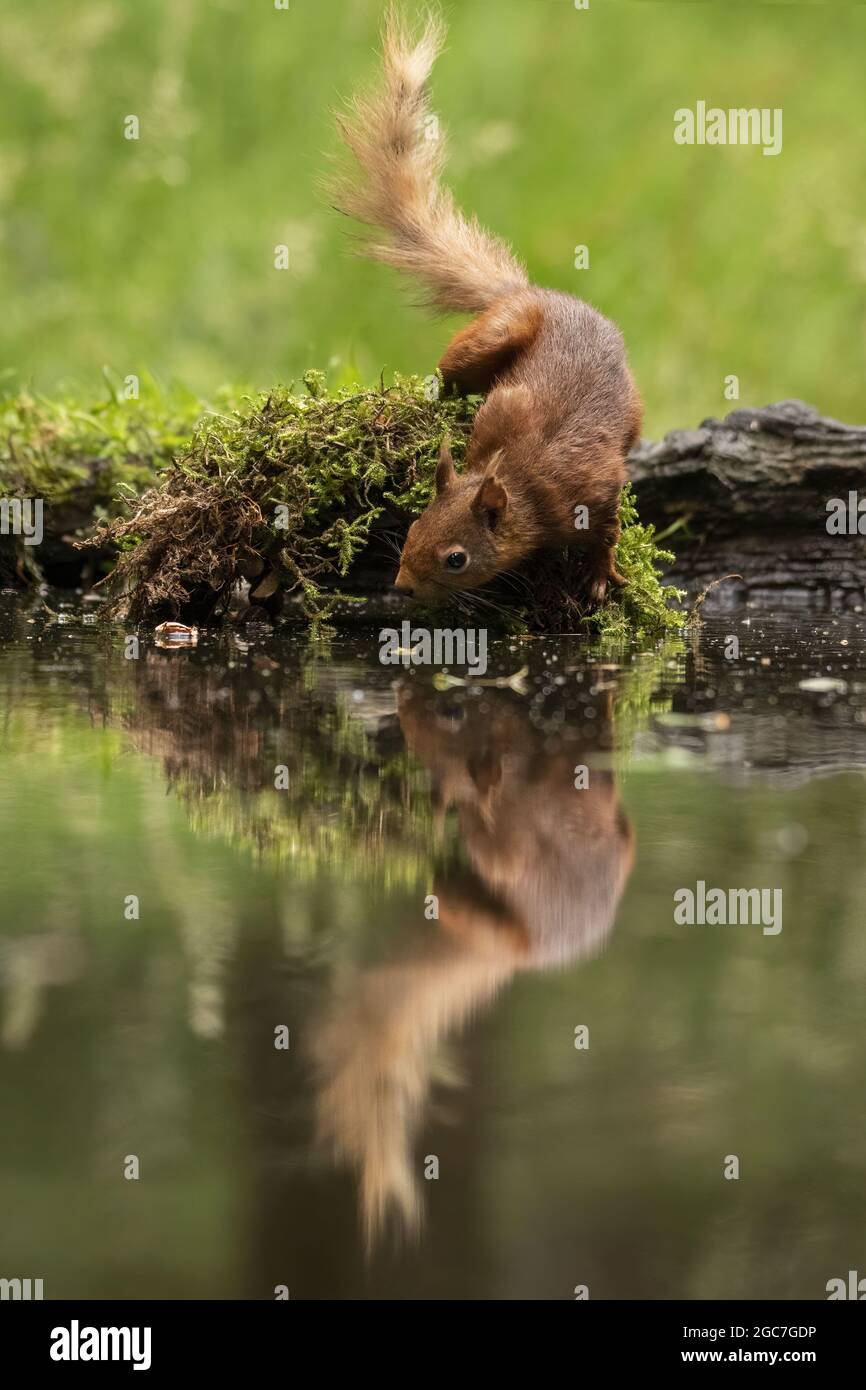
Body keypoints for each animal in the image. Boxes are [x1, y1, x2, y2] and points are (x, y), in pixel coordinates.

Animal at [329, 7, 643, 605]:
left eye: (457, 559)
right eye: (413, 526)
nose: (401, 588)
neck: (524, 484)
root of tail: (532, 294)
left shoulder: (596, 488)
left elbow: (607, 531)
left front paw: (598, 574)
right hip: (487, 342)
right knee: (452, 375)